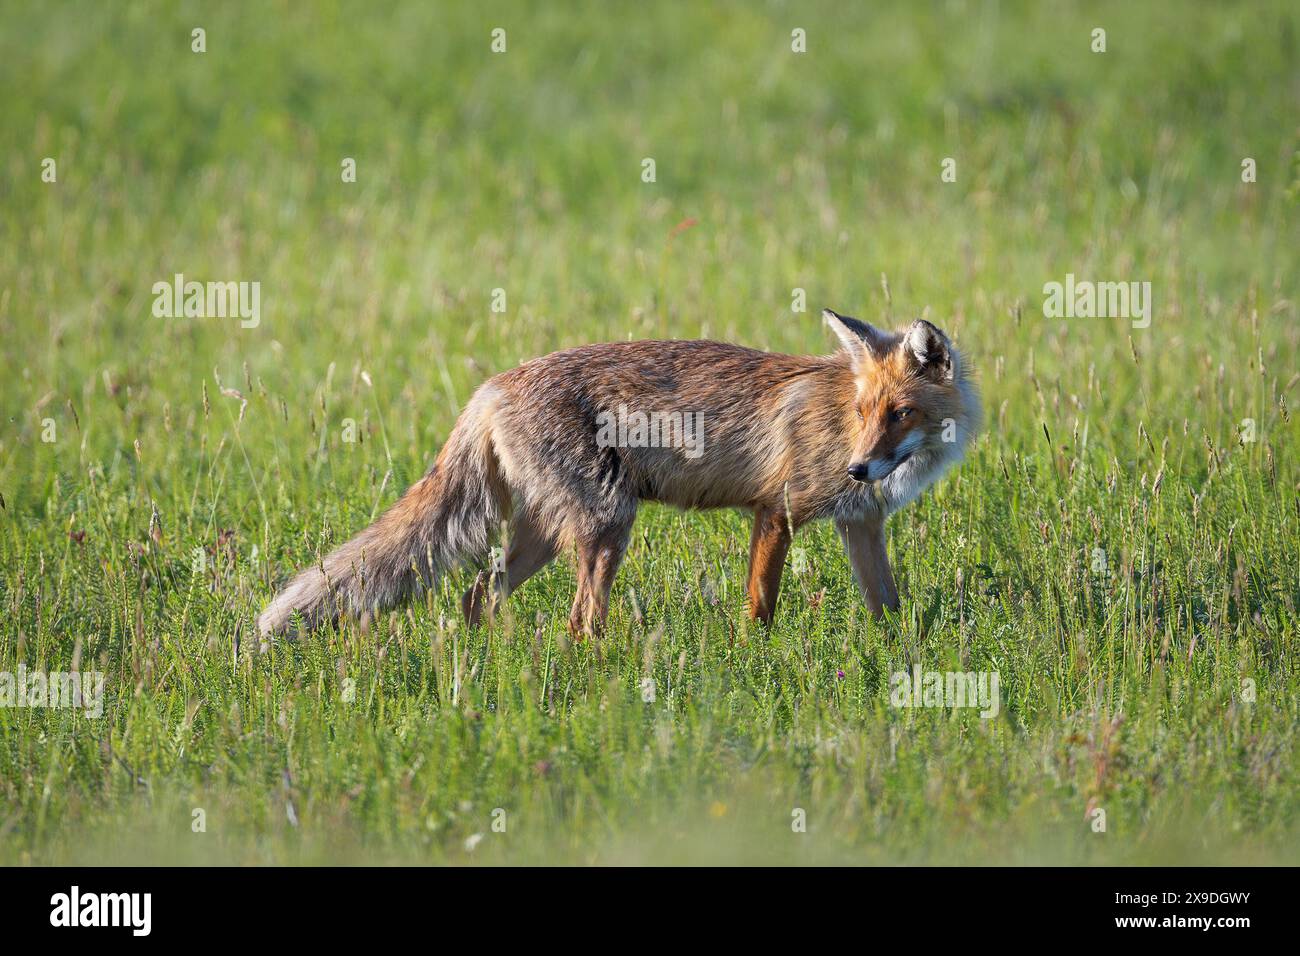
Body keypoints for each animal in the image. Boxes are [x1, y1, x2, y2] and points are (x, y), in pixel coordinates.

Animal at [257, 309, 979, 639]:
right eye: (863, 412)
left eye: (899, 413)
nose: (859, 468)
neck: (836, 423)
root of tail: (490, 387)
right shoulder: (775, 511)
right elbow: (761, 606)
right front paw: (757, 655)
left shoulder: (861, 527)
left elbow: (888, 607)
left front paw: (899, 656)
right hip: (608, 526)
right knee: (580, 621)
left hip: (546, 537)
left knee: (476, 595)